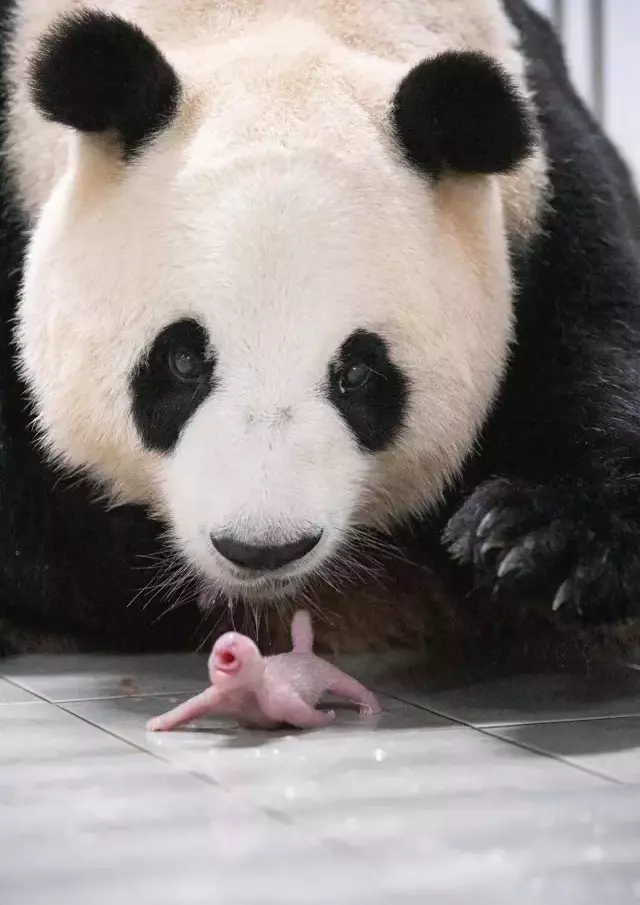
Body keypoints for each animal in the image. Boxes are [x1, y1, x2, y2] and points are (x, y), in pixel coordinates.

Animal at [1, 0, 640, 661]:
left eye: (357, 372)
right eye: (182, 362)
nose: (263, 548)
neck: (277, 21)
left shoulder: (548, 190)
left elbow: (598, 348)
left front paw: (537, 540)